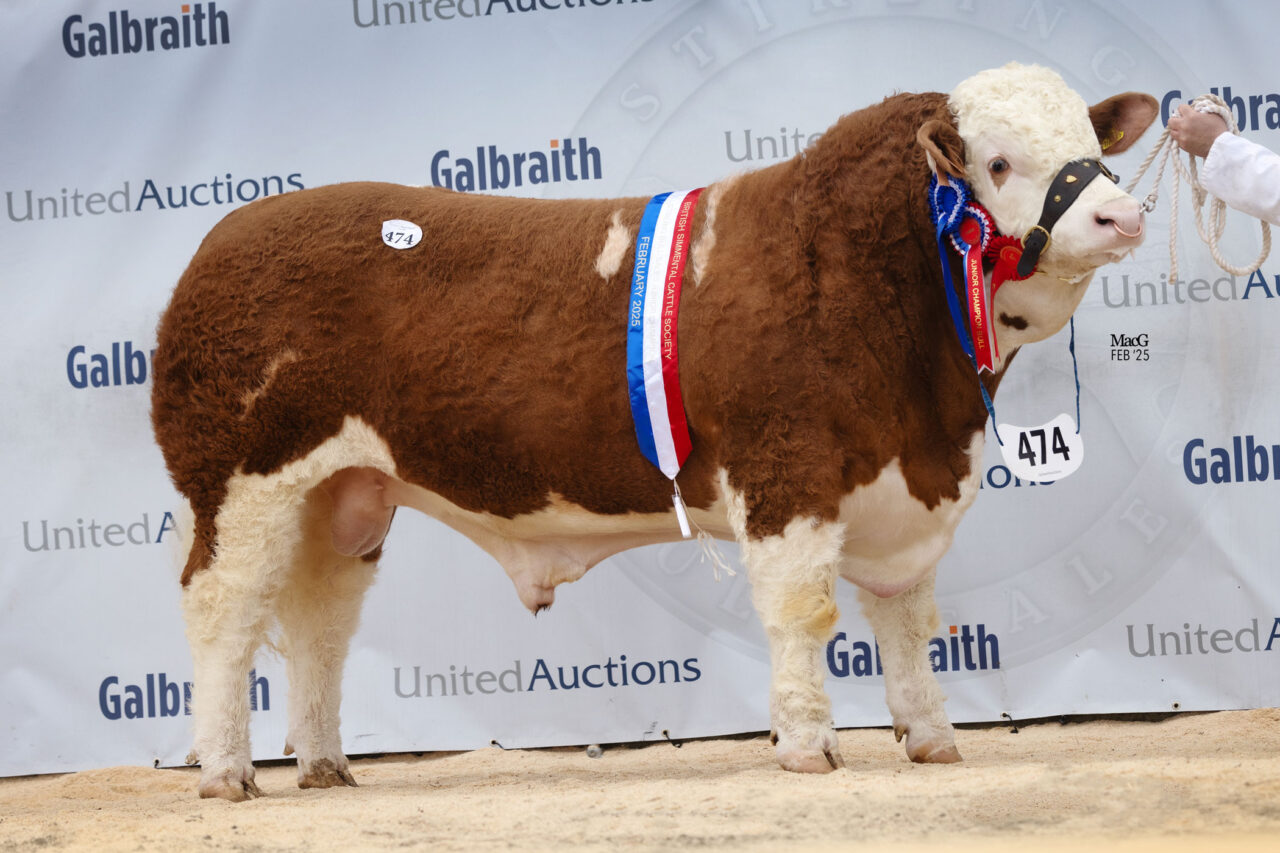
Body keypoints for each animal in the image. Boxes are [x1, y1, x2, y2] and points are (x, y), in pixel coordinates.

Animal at [151, 63, 1158, 801]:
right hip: (238, 483)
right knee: (223, 613)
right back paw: (228, 773)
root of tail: (226, 237)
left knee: (319, 622)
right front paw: (808, 745)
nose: (1122, 213)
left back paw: (325, 767)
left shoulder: (904, 486)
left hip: (342, 495)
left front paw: (934, 736)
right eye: (998, 163)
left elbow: (909, 619)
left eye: (1089, 146)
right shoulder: (785, 469)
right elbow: (805, 610)